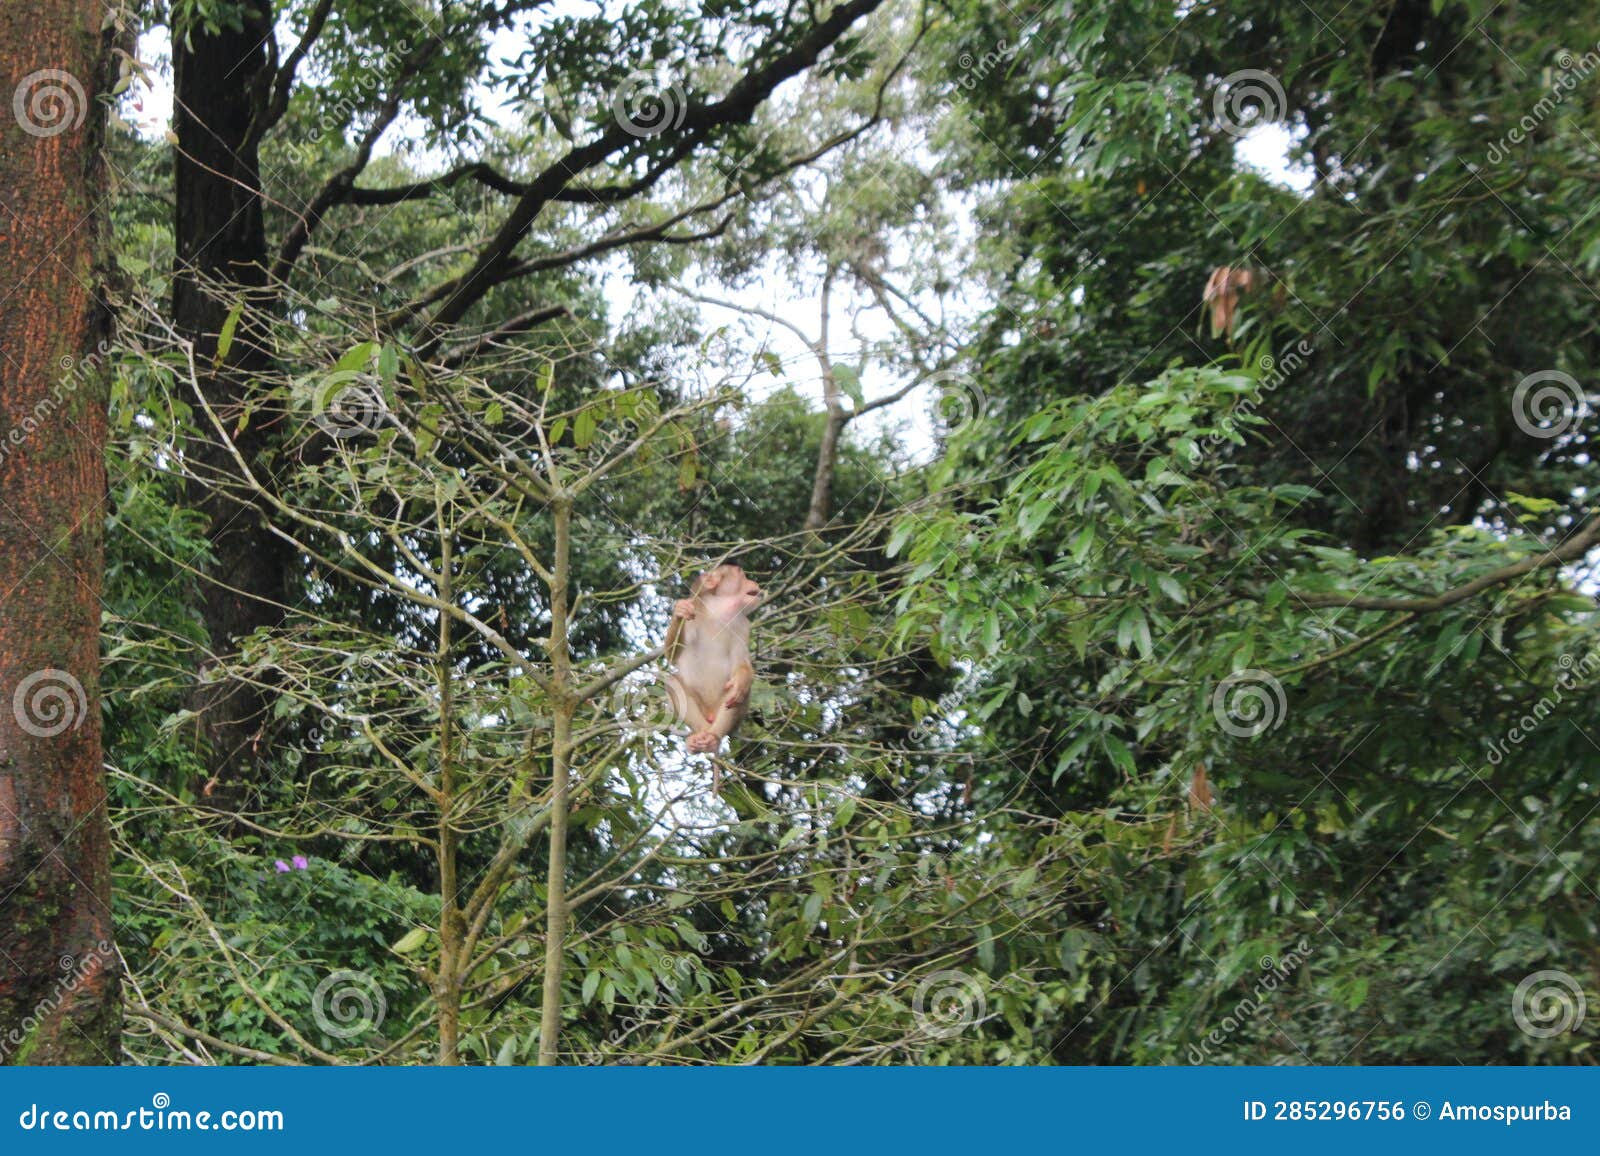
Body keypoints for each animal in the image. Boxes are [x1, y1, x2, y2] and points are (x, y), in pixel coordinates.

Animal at [663, 563, 761, 754]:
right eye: (742, 576)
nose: (753, 581)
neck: (719, 611)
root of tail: (709, 715)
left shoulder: (742, 624)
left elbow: (741, 662)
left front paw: (742, 678)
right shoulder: (695, 611)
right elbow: (672, 654)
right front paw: (679, 612)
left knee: (739, 692)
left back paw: (713, 738)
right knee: (672, 682)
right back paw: (699, 736)